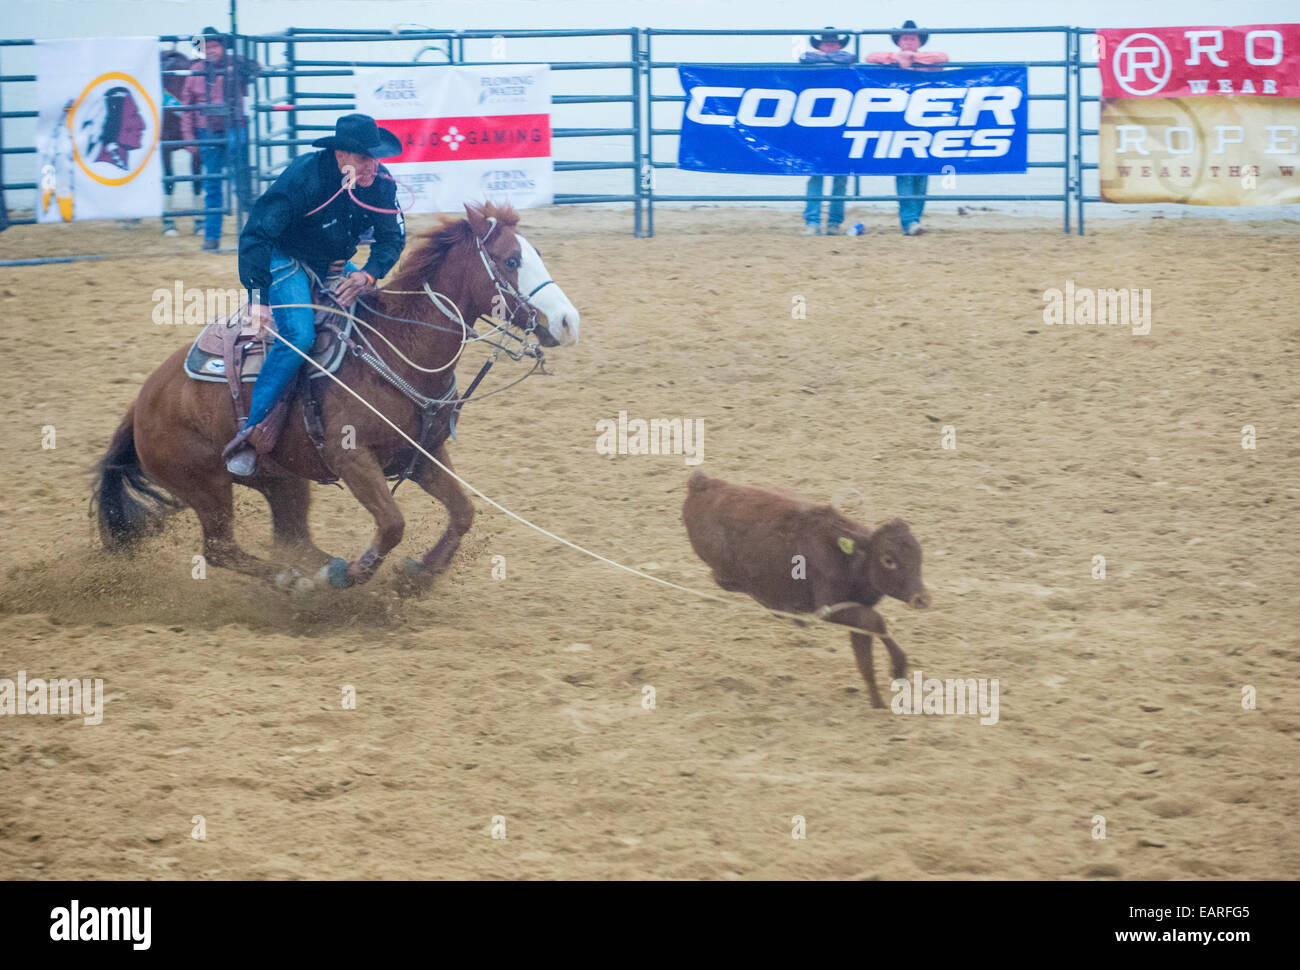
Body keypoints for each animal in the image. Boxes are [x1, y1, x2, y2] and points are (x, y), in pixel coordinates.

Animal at [682, 471, 931, 707]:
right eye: (889, 560)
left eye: (919, 556)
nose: (922, 599)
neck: (850, 557)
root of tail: (703, 483)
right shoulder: (829, 609)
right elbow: (875, 621)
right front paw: (898, 668)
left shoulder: (855, 610)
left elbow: (866, 656)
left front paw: (879, 701)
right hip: (727, 570)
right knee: (726, 580)